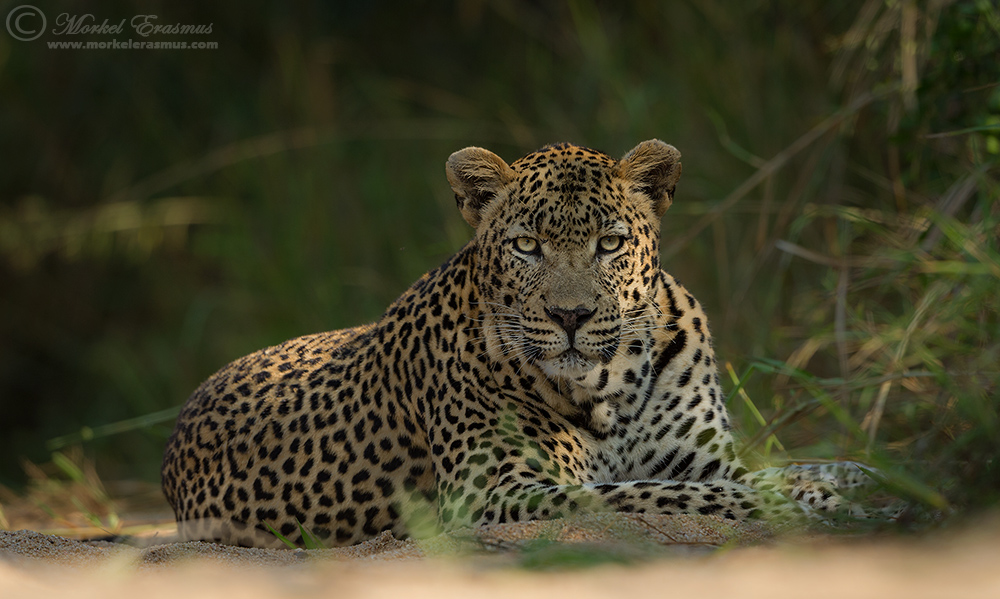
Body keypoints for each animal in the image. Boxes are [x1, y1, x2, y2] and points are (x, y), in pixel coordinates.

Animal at [161, 140, 879, 548]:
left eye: (610, 243)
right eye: (527, 245)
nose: (571, 314)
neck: (611, 385)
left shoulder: (703, 459)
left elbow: (758, 472)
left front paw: (854, 476)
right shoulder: (498, 488)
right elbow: (656, 493)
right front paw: (825, 503)